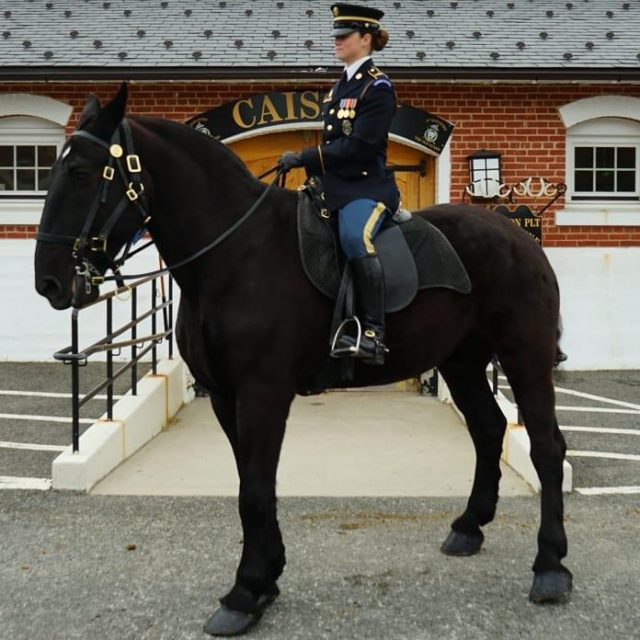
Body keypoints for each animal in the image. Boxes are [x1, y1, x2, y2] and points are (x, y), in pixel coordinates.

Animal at [34, 84, 571, 636]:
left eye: (82, 173)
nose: (49, 280)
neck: (234, 254)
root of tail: (517, 233)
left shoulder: (262, 392)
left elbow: (254, 489)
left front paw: (244, 592)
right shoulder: (226, 396)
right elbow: (252, 483)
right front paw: (266, 579)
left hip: (524, 358)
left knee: (547, 448)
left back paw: (550, 568)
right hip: (461, 363)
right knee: (488, 429)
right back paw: (468, 528)